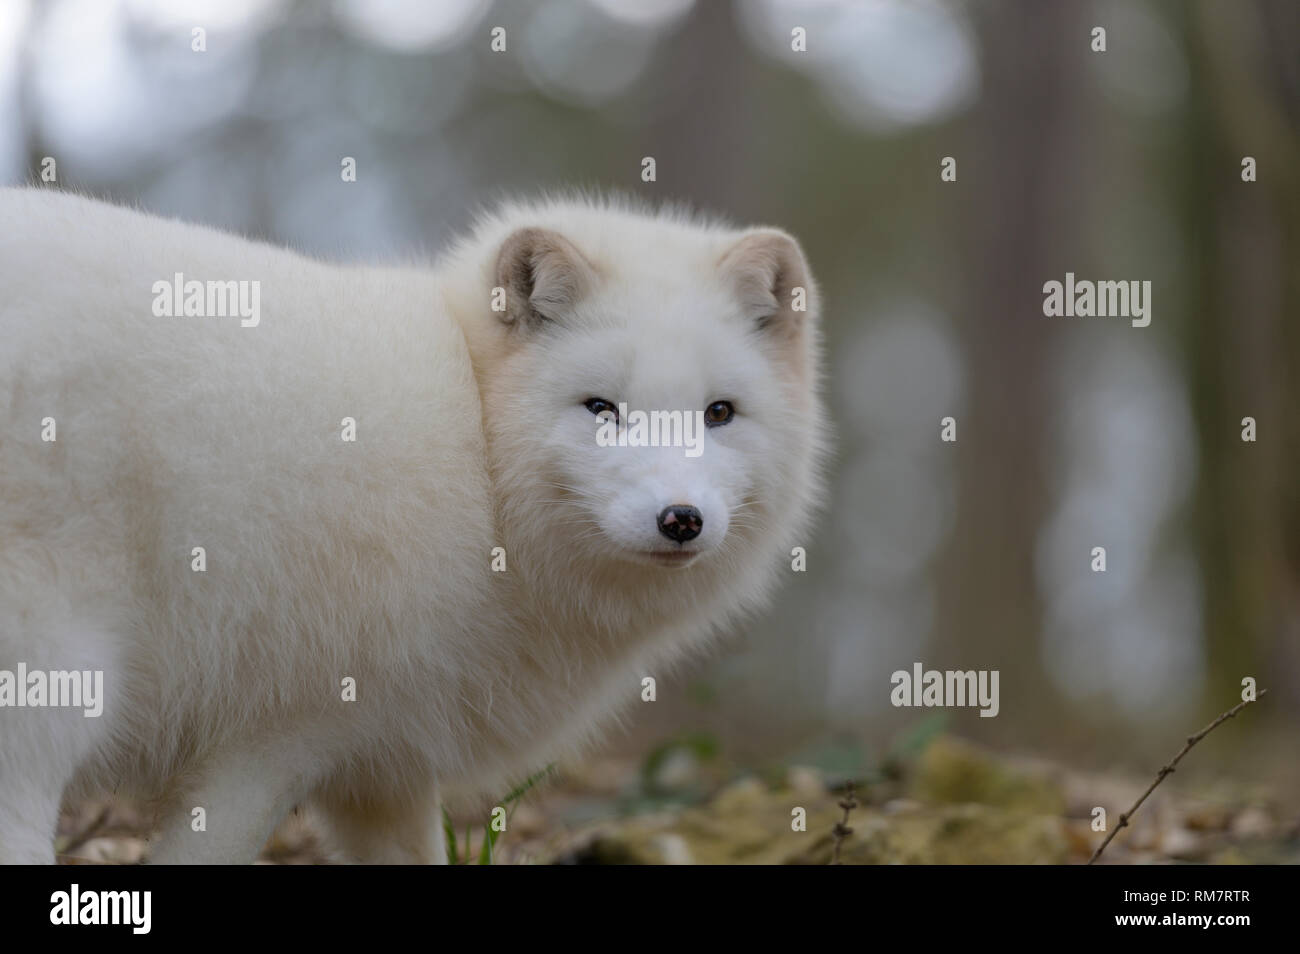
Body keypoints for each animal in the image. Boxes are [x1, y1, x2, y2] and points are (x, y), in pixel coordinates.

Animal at [0, 187, 826, 863]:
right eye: (601, 408)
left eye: (718, 413)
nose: (681, 519)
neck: (480, 455)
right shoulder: (279, 729)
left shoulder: (382, 760)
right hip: (55, 683)